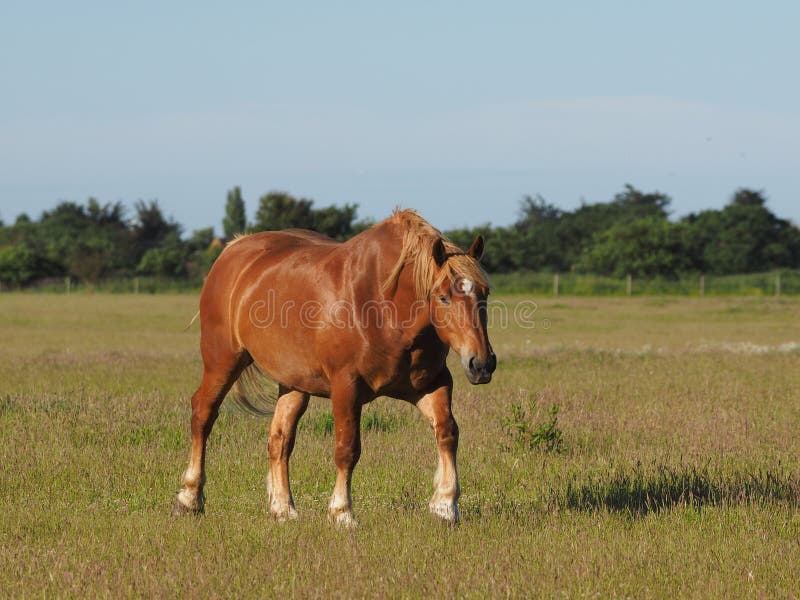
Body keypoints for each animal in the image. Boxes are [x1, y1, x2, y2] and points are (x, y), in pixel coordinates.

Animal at [173, 209, 496, 525]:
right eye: (443, 296)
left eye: (485, 292)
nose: (481, 363)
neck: (384, 306)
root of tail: (233, 250)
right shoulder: (346, 387)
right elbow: (347, 448)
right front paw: (342, 512)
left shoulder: (431, 383)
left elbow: (447, 432)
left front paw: (446, 505)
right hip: (223, 361)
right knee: (203, 414)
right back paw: (189, 498)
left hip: (293, 383)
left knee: (280, 438)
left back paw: (283, 509)